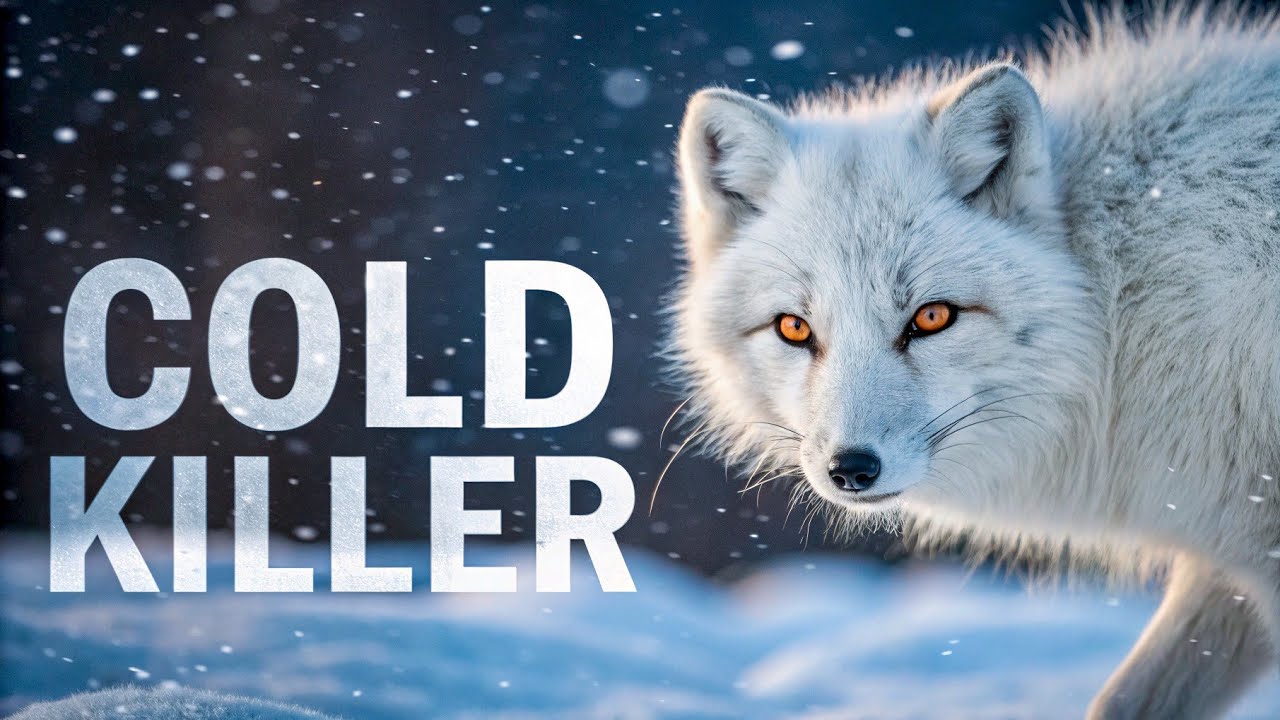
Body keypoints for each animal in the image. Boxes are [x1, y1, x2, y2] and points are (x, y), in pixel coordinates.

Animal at [663, 3, 1280, 718]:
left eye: (932, 317)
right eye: (794, 328)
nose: (852, 470)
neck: (1125, 291)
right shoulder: (1229, 564)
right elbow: (1123, 701)